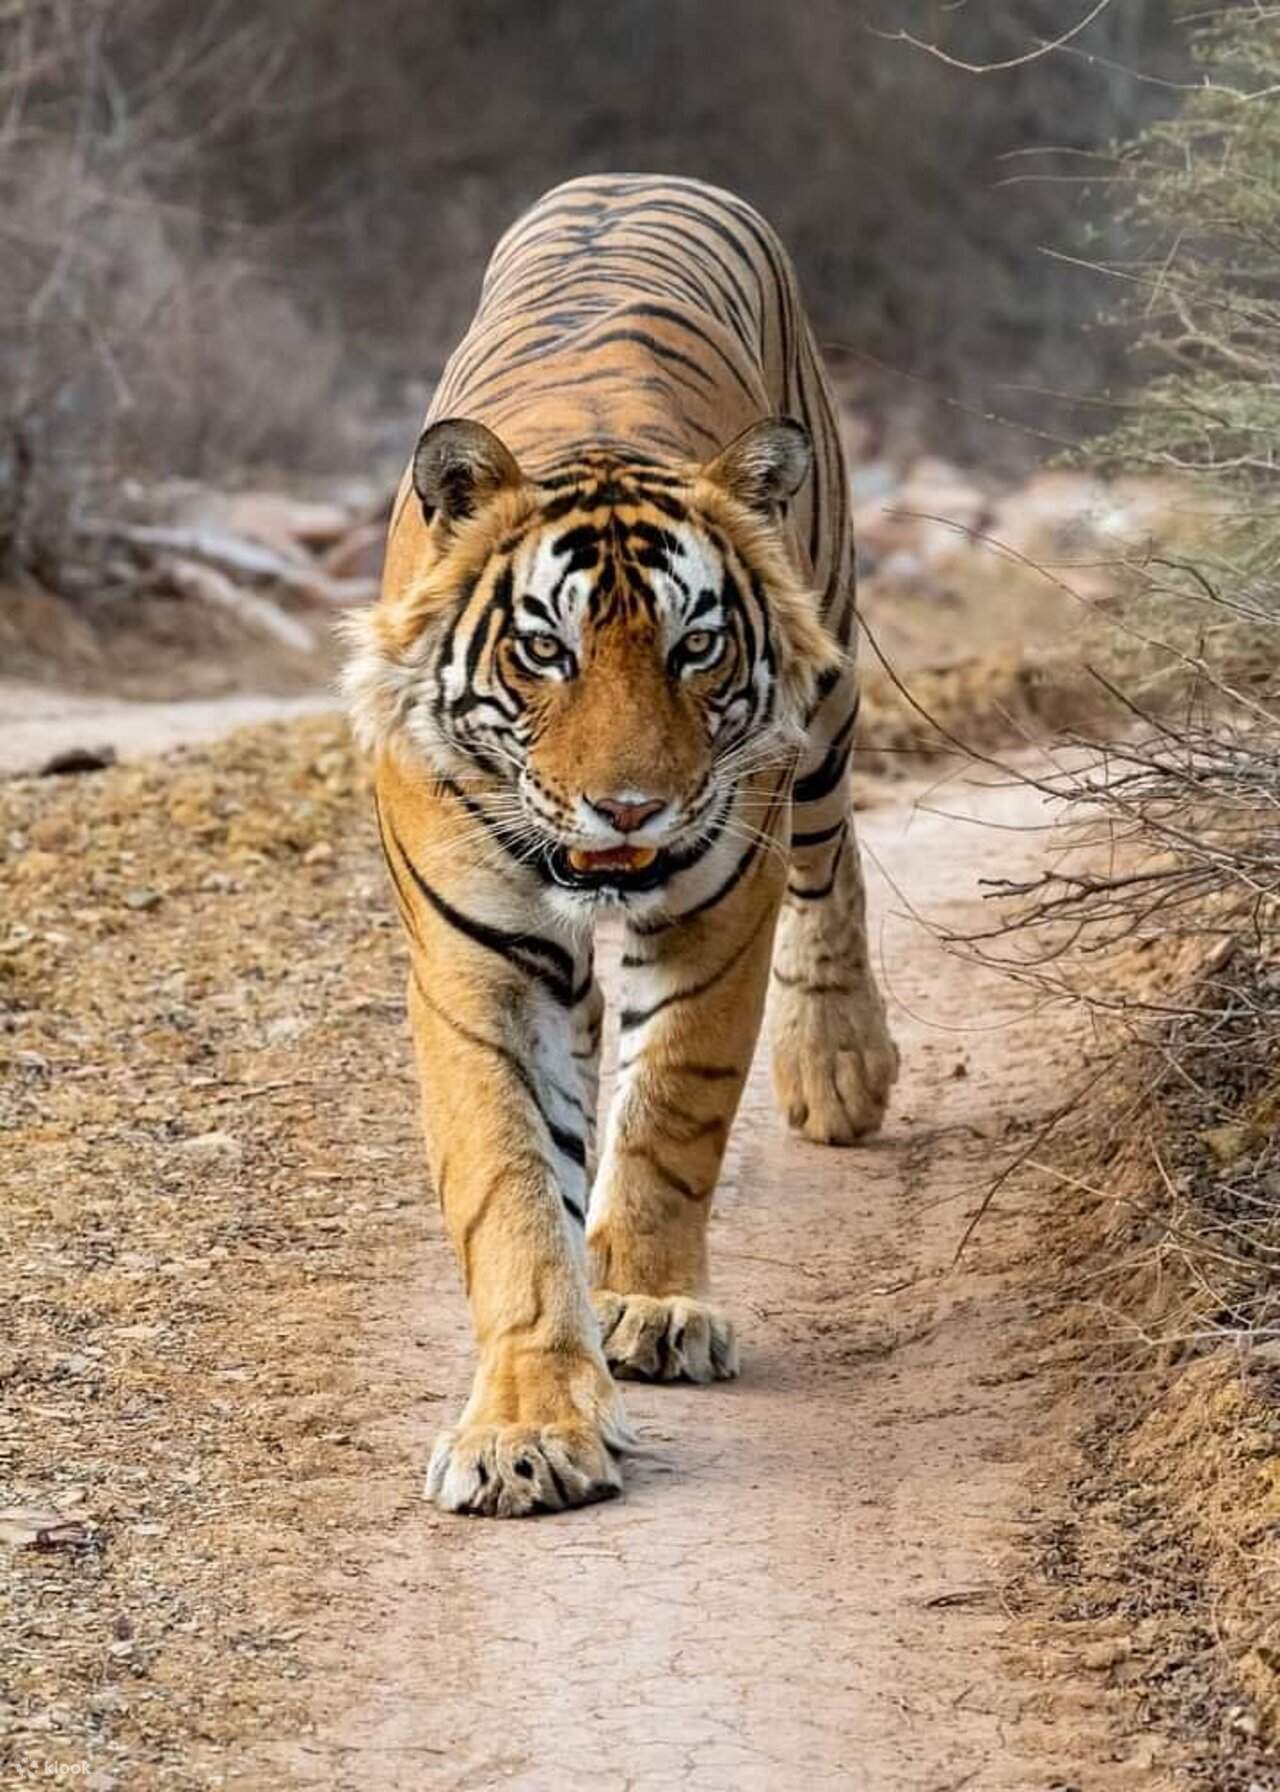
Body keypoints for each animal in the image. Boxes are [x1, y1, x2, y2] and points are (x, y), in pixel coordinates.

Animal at [344, 172, 898, 1518]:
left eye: (694, 646)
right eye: (543, 650)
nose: (631, 810)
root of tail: (633, 176)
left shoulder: (713, 916)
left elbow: (670, 1121)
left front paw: (646, 1300)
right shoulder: (477, 966)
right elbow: (510, 1191)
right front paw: (526, 1425)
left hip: (823, 711)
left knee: (832, 867)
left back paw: (839, 1067)